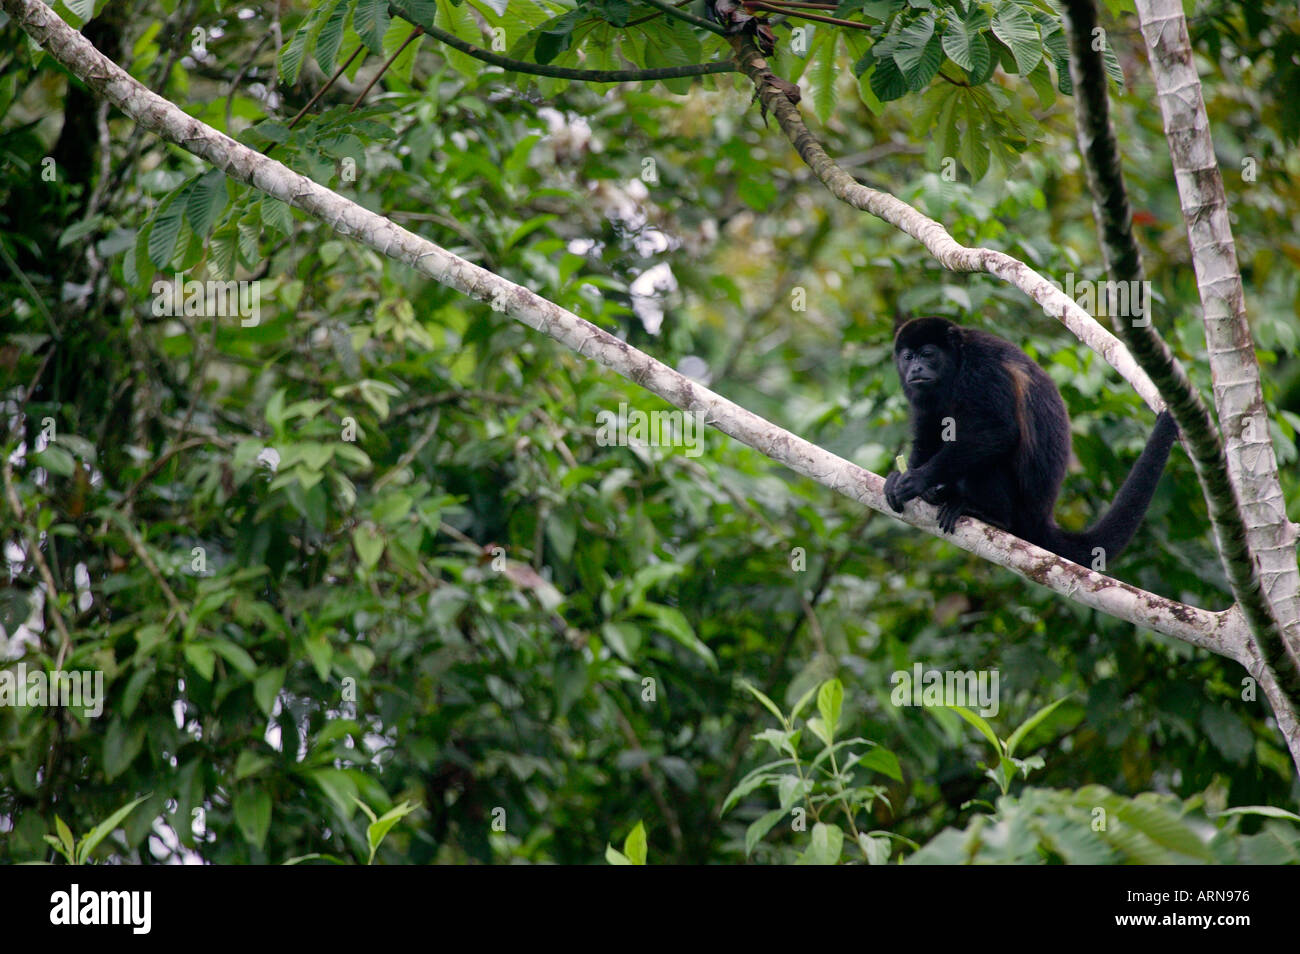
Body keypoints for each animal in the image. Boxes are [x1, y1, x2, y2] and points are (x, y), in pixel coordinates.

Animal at [883, 316, 1179, 567]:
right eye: (908, 356)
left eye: (928, 353)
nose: (915, 368)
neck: (955, 367)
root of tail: (1040, 518)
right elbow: (928, 432)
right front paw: (902, 478)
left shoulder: (982, 370)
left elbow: (998, 430)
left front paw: (918, 480)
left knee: (987, 461)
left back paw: (989, 513)